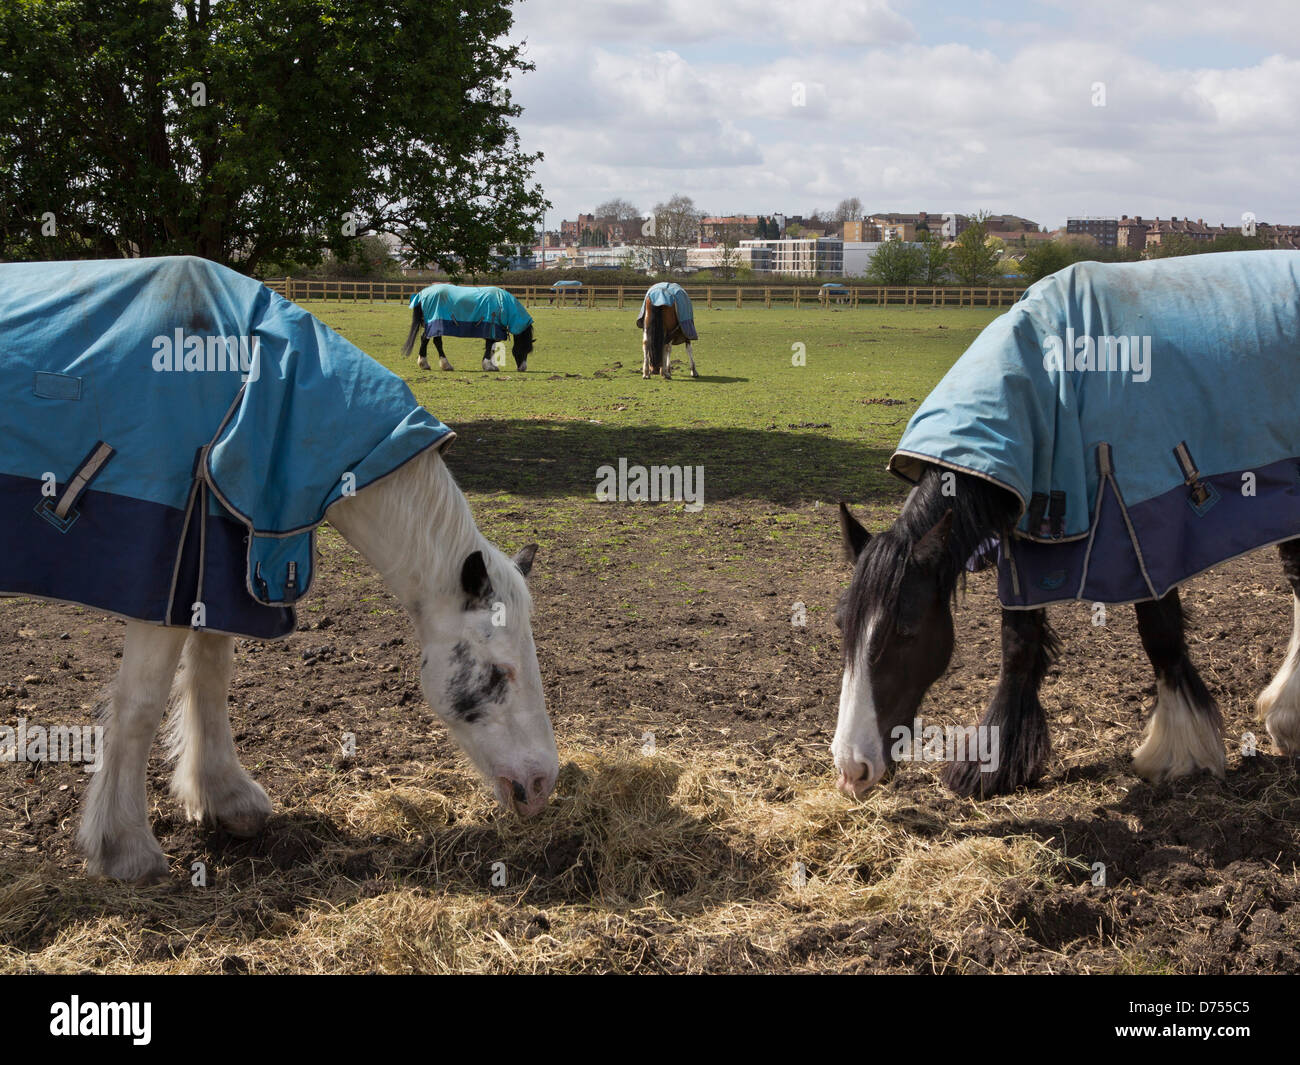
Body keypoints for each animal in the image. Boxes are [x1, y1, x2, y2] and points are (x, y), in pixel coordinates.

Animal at [402, 283, 535, 372]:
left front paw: (492, 365)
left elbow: (491, 347)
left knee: (428, 340)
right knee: (432, 341)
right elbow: (489, 346)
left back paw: (428, 364)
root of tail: (422, 294)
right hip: (435, 324)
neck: (501, 303)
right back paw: (440, 364)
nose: (523, 368)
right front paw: (488, 366)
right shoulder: (491, 328)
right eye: (524, 347)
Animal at [831, 251, 1300, 800]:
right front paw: (993, 763)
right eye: (842, 625)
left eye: (905, 631)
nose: (851, 768)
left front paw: (1179, 752)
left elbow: (1160, 633)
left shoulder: (1139, 528)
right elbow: (1018, 644)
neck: (1054, 381)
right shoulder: (1025, 545)